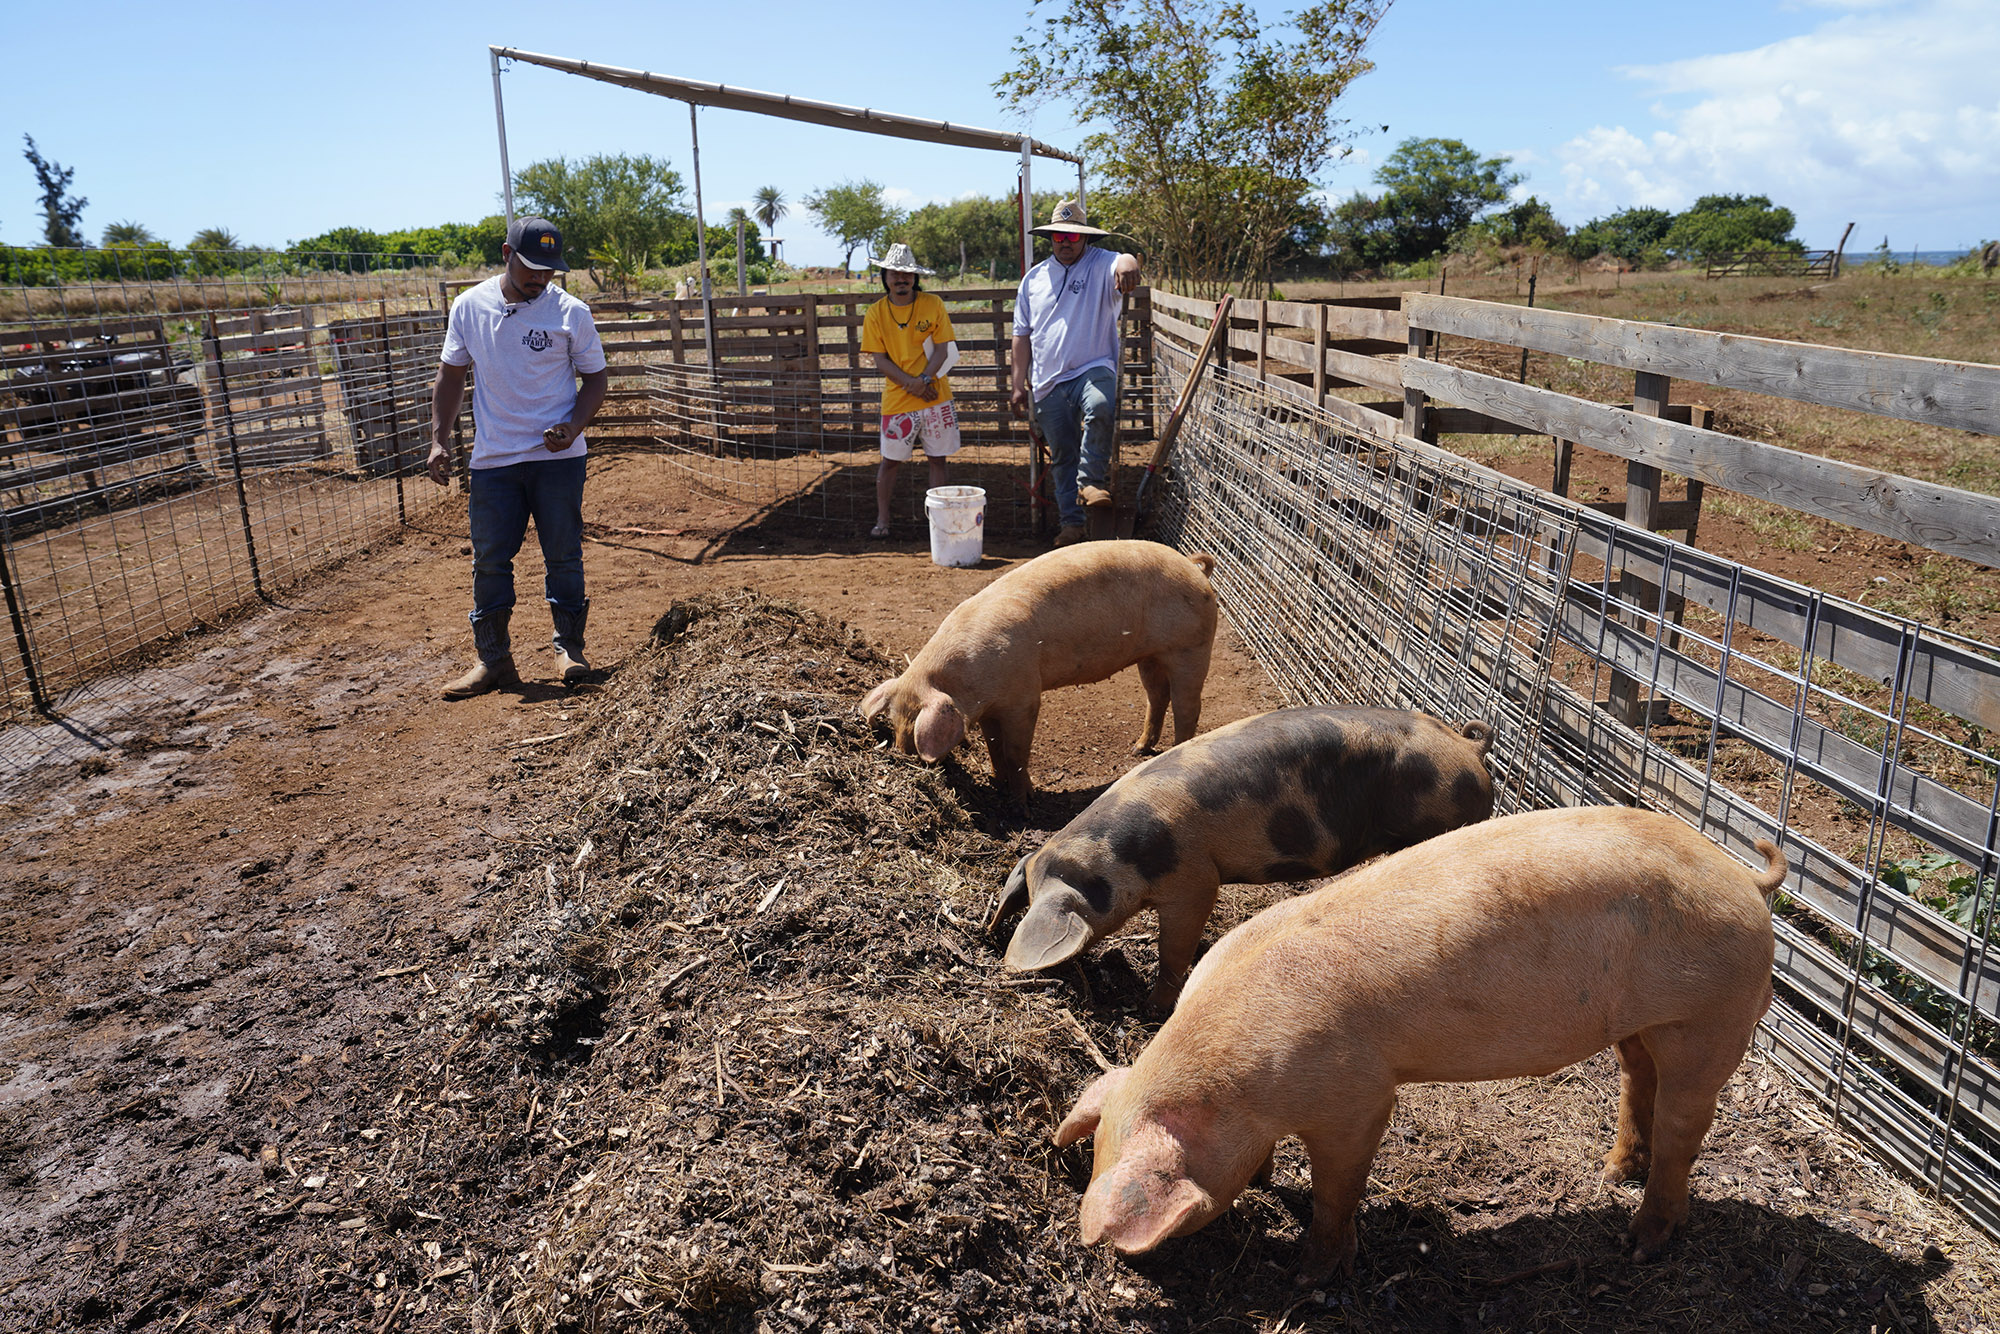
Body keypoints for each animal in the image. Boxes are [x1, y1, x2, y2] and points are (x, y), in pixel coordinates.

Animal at [860, 541, 1217, 806]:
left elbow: (1016, 751)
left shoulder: (1025, 698)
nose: (902, 755)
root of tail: (1191, 565)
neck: (967, 684)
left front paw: (1022, 802)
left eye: (915, 723)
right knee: (1156, 697)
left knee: (1188, 707)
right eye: (893, 719)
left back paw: (1175, 749)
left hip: (1192, 647)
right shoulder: (989, 709)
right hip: (1151, 656)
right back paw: (1138, 749)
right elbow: (994, 746)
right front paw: (997, 781)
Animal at [1055, 805, 1784, 1284]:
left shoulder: (1356, 1097)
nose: (1118, 1256)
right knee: (1640, 1079)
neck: (1236, 1086)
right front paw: (1265, 1182)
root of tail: (1742, 878)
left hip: (1710, 1017)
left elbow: (1336, 1187)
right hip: (1643, 1022)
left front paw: (1309, 1276)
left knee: (1685, 1125)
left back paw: (1638, 1244)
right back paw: (1612, 1174)